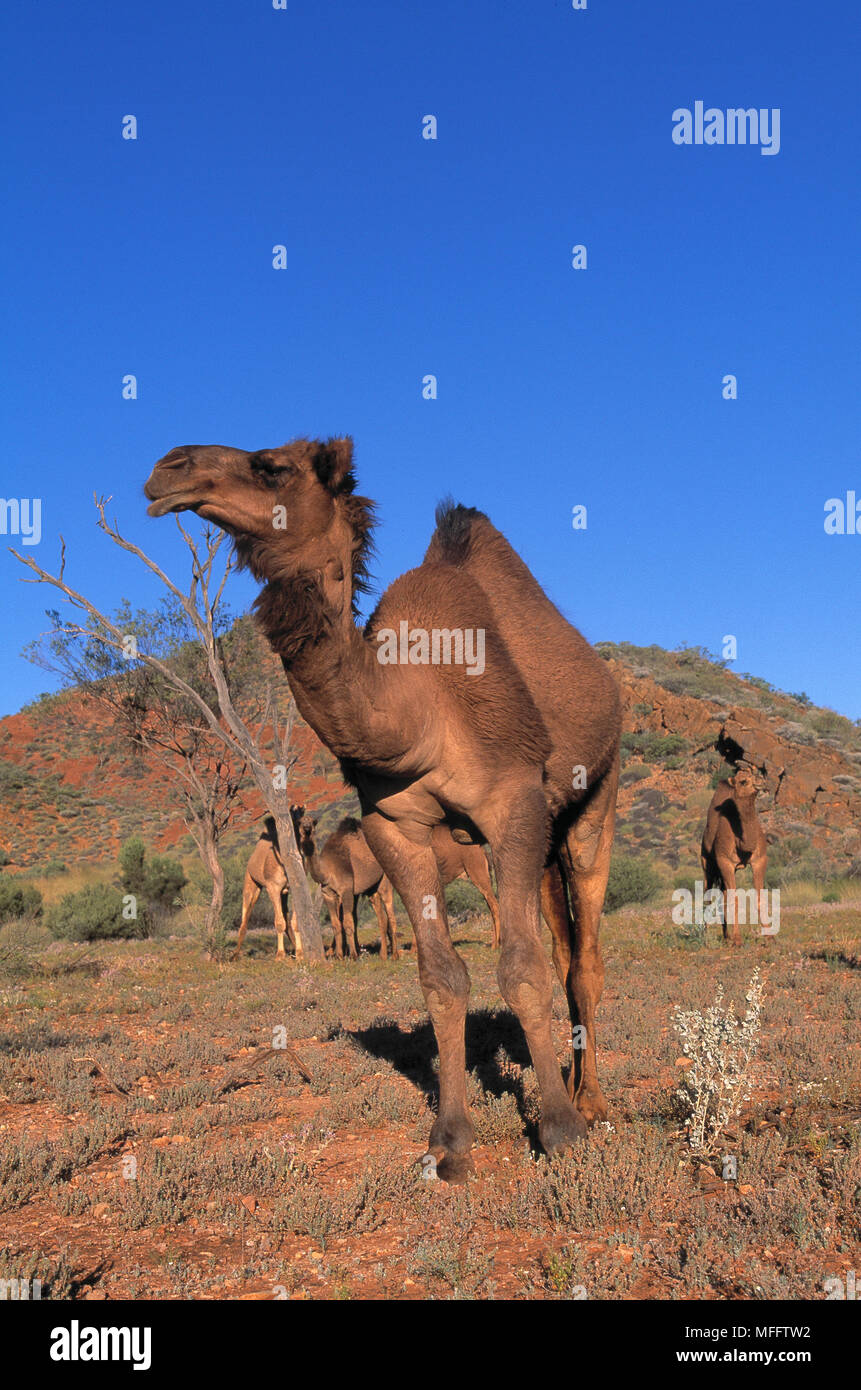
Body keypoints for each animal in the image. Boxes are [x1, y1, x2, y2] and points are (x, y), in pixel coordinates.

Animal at [145, 436, 622, 1180]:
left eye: (271, 467)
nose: (168, 468)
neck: (415, 708)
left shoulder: (512, 801)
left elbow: (520, 967)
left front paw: (560, 1128)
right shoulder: (394, 824)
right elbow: (440, 976)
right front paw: (449, 1143)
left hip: (597, 795)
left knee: (585, 958)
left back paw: (592, 1100)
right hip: (550, 830)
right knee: (564, 942)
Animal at [701, 767, 768, 944]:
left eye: (758, 774)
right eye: (743, 781)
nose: (762, 781)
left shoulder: (759, 859)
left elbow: (760, 896)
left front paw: (769, 936)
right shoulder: (725, 862)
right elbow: (735, 899)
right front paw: (738, 939)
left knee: (722, 895)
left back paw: (726, 936)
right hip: (707, 865)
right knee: (707, 897)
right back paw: (705, 935)